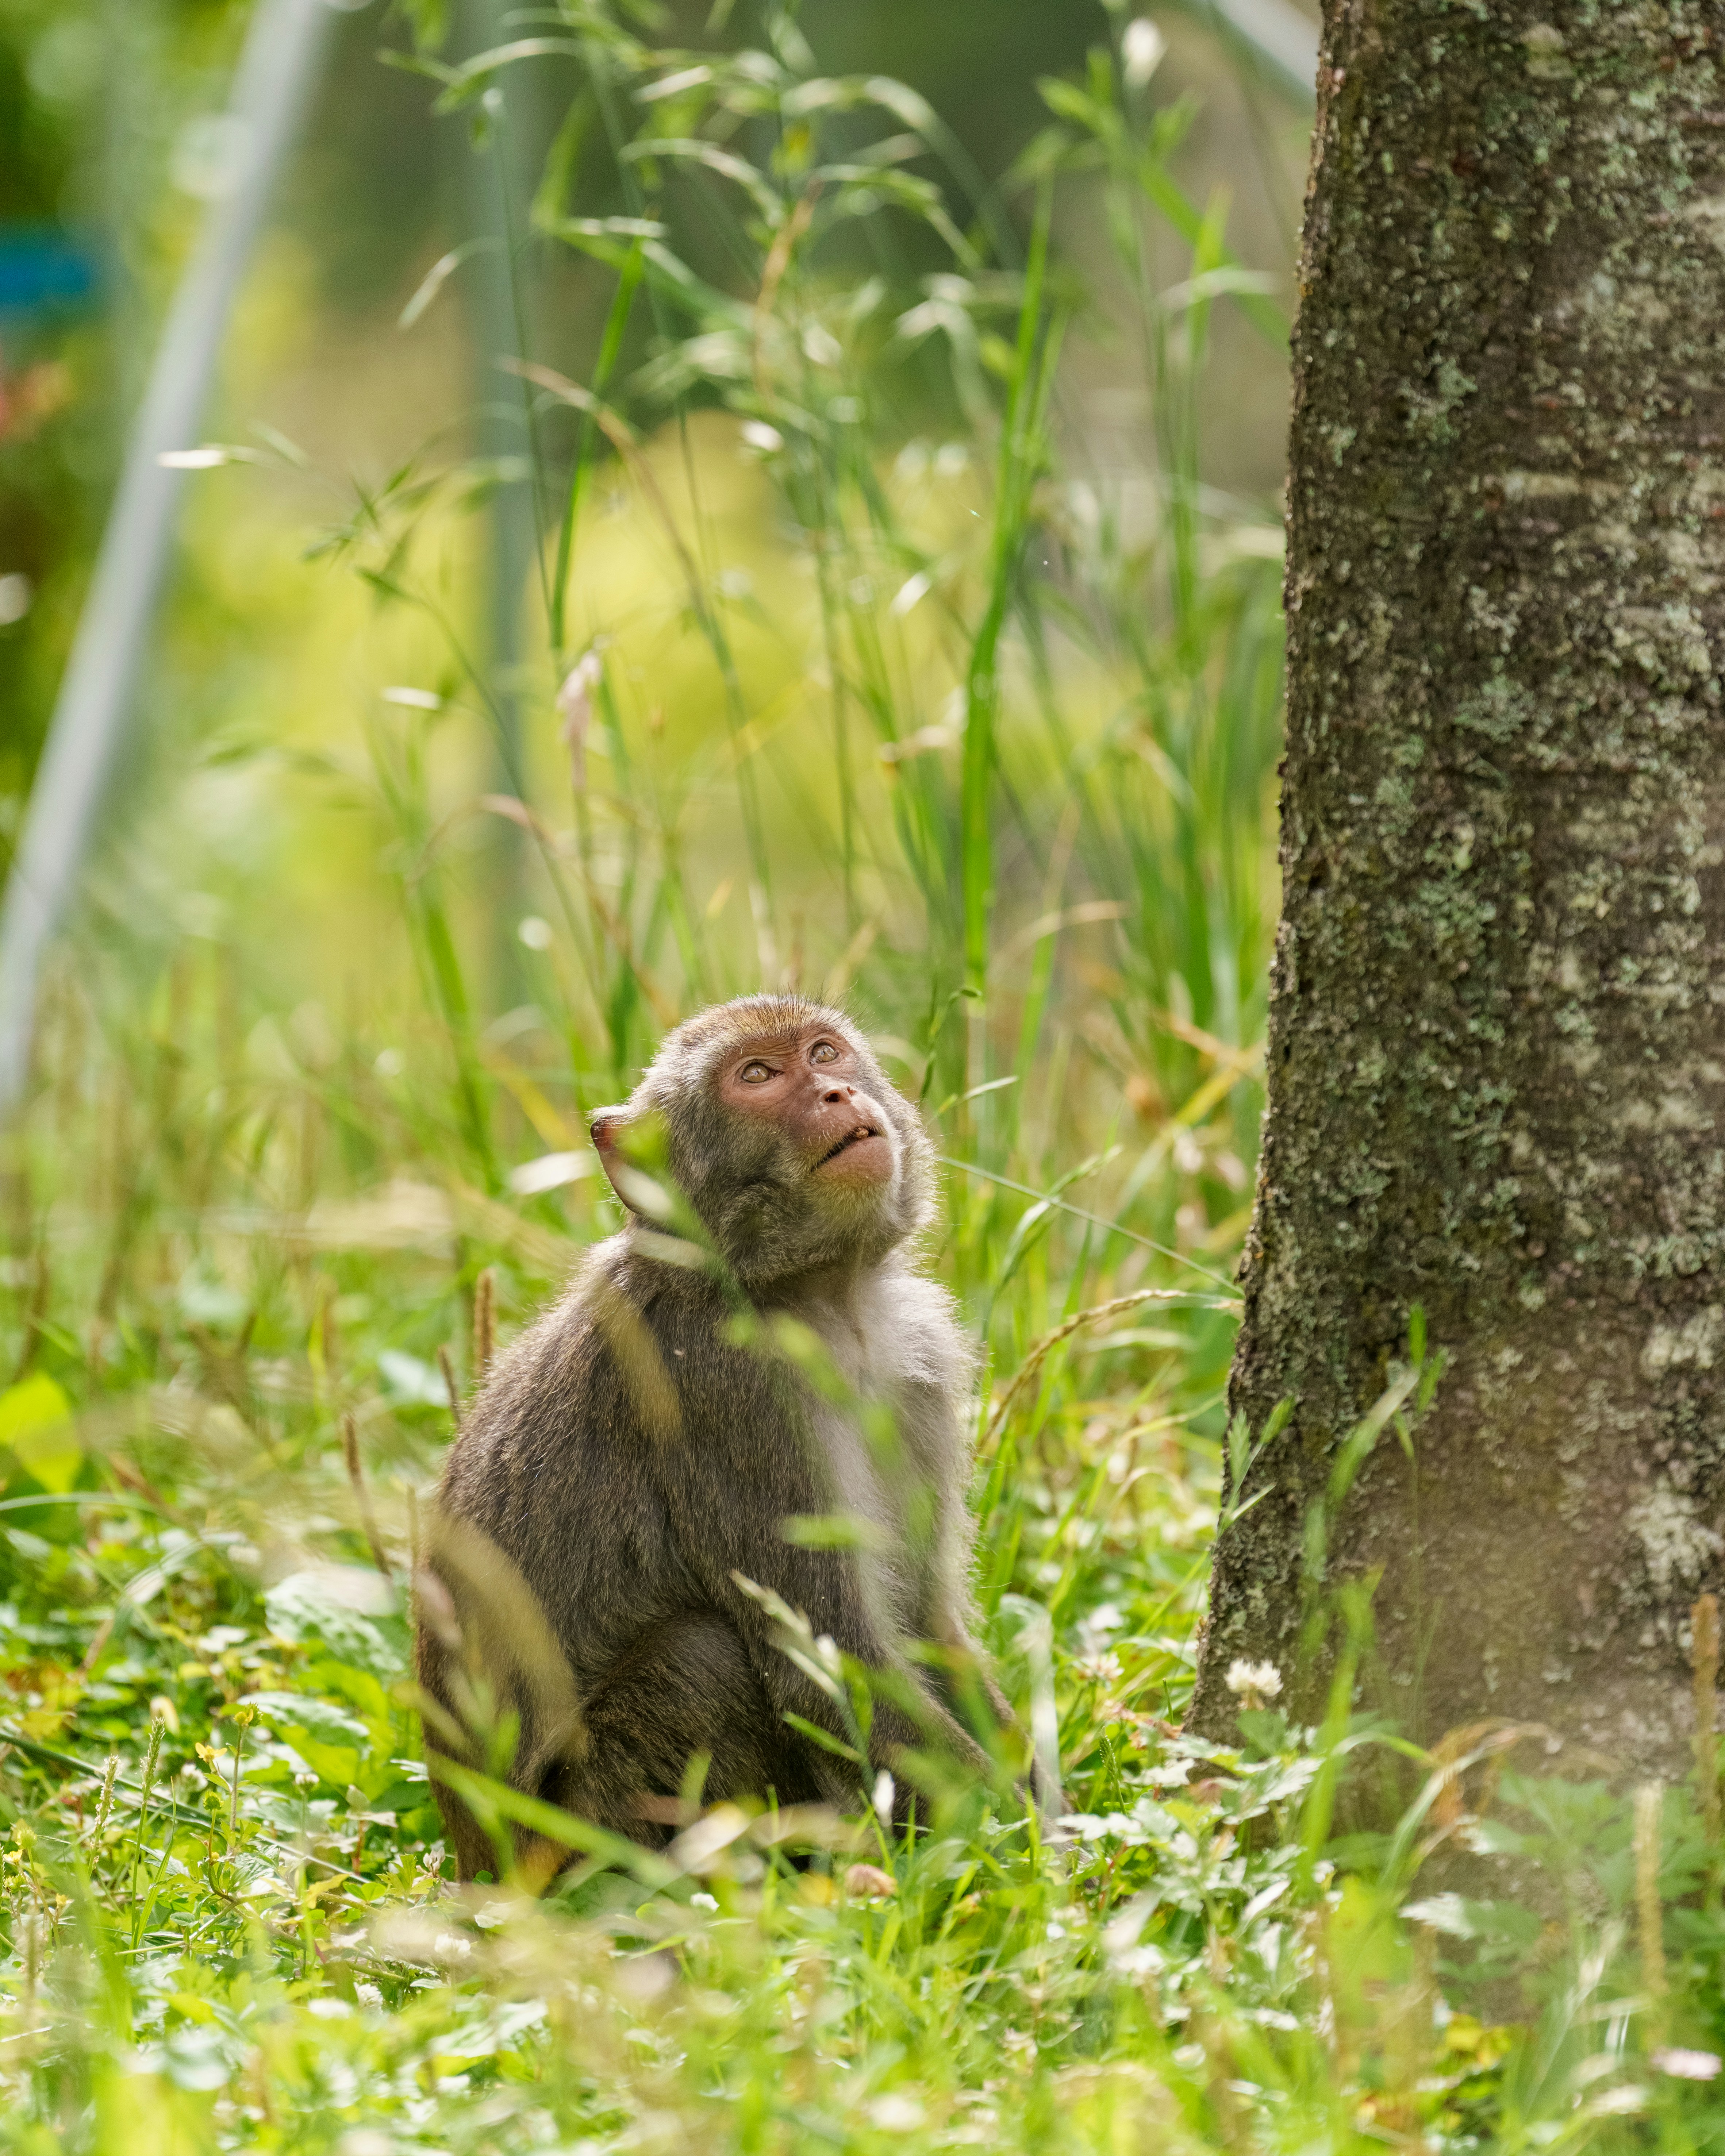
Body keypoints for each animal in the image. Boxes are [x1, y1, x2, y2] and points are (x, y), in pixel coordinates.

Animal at [416, 994, 1046, 1880]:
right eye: (756, 1075)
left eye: (824, 1053)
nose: (837, 1093)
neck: (817, 1300)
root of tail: (479, 1866)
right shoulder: (730, 1394)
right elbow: (831, 1662)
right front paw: (1034, 1861)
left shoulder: (920, 1362)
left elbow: (928, 1624)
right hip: (578, 1833)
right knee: (699, 1657)